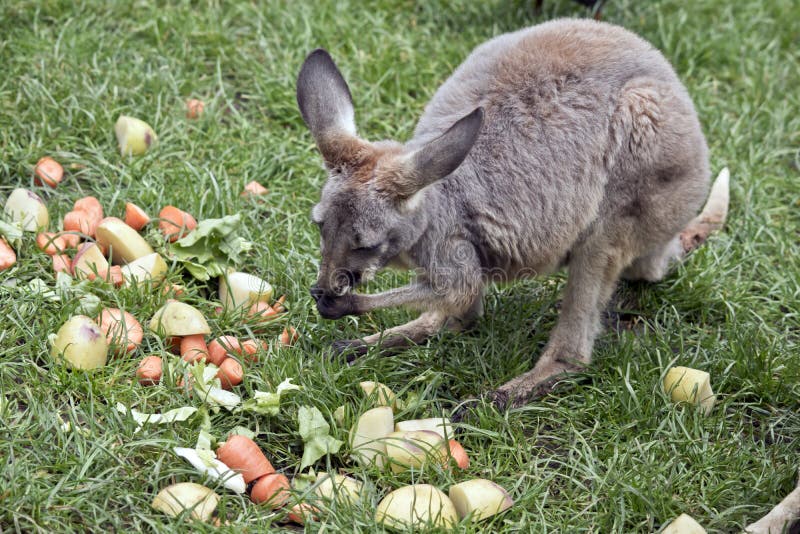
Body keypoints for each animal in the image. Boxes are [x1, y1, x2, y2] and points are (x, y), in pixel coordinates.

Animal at [296, 18, 729, 410]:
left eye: (365, 244)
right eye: (319, 227)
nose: (323, 287)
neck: (435, 200)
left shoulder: (450, 243)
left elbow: (460, 288)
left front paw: (339, 305)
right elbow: (458, 300)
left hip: (635, 171)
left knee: (575, 337)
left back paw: (498, 397)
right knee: (459, 318)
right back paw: (366, 344)